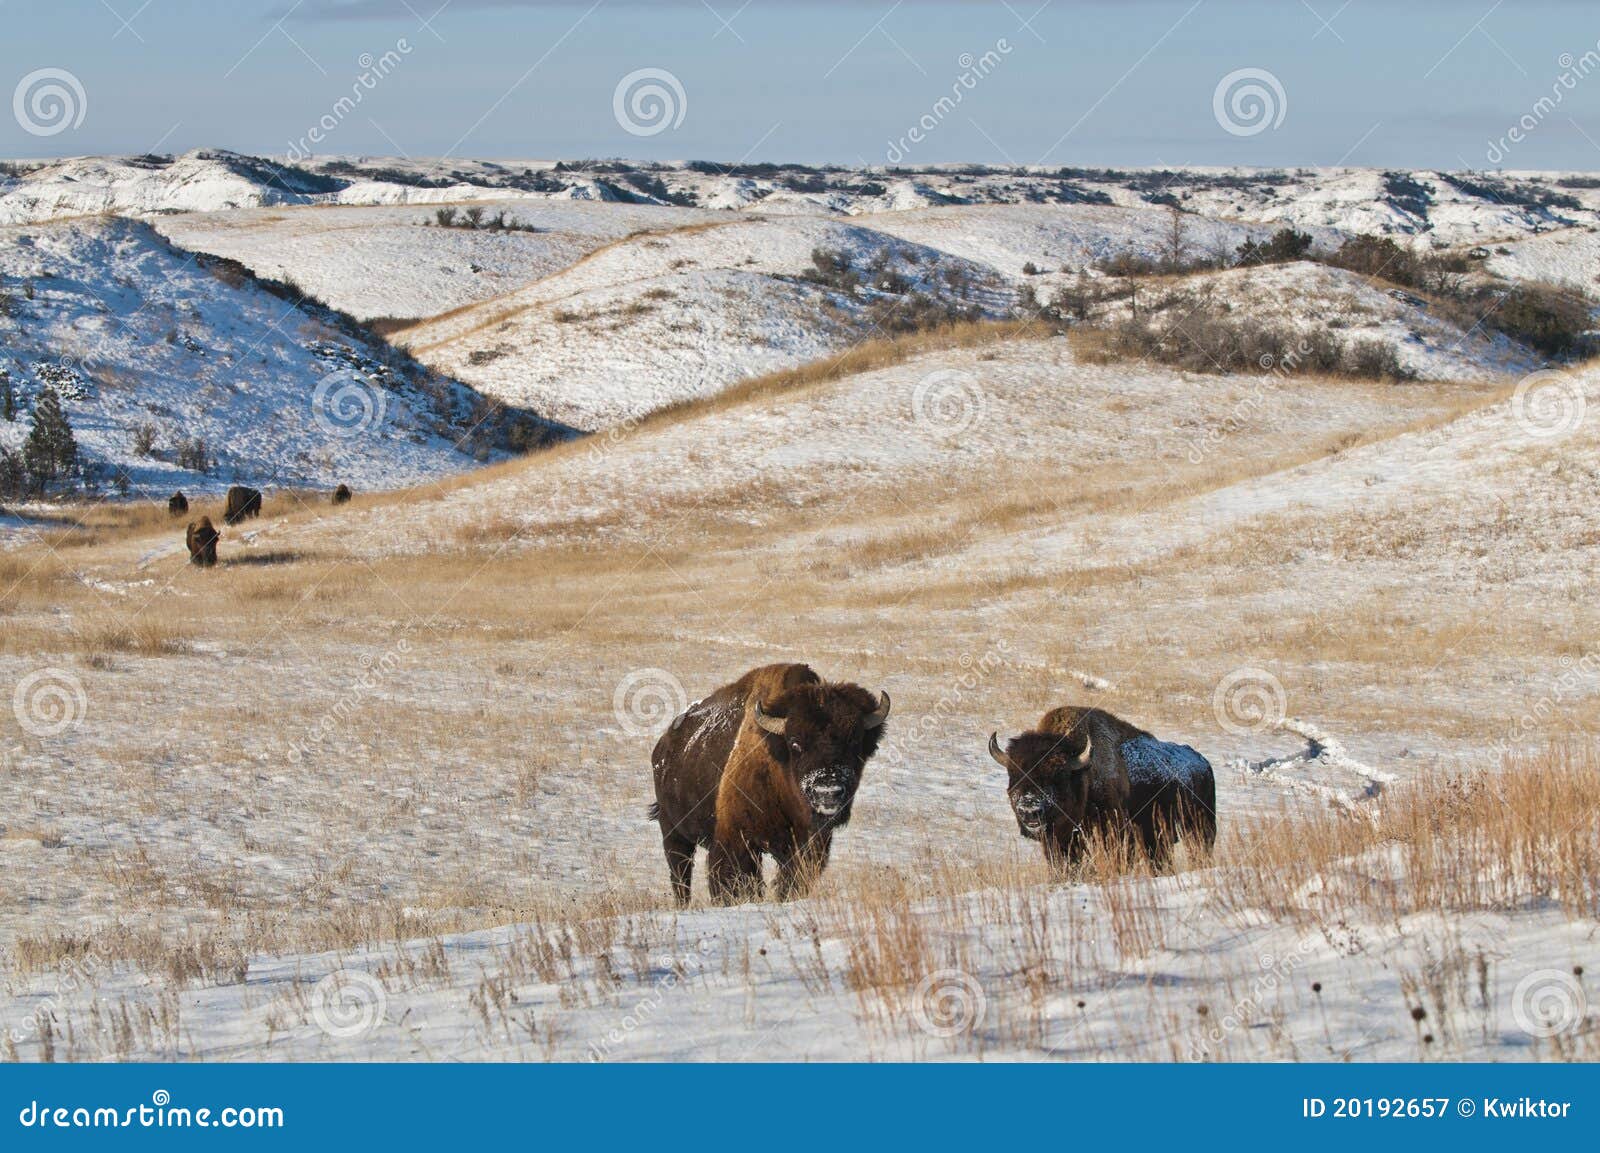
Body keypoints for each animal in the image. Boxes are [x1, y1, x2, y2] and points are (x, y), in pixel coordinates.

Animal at [649, 663, 890, 906]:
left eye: (854, 740)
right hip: (672, 831)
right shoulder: (737, 841)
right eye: (795, 744)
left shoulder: (808, 844)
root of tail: (664, 744)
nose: (828, 792)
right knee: (680, 874)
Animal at [989, 706, 1215, 871]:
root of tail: (1203, 763)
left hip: (1200, 831)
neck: (1083, 774)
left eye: (1058, 776)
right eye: (1013, 774)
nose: (1029, 810)